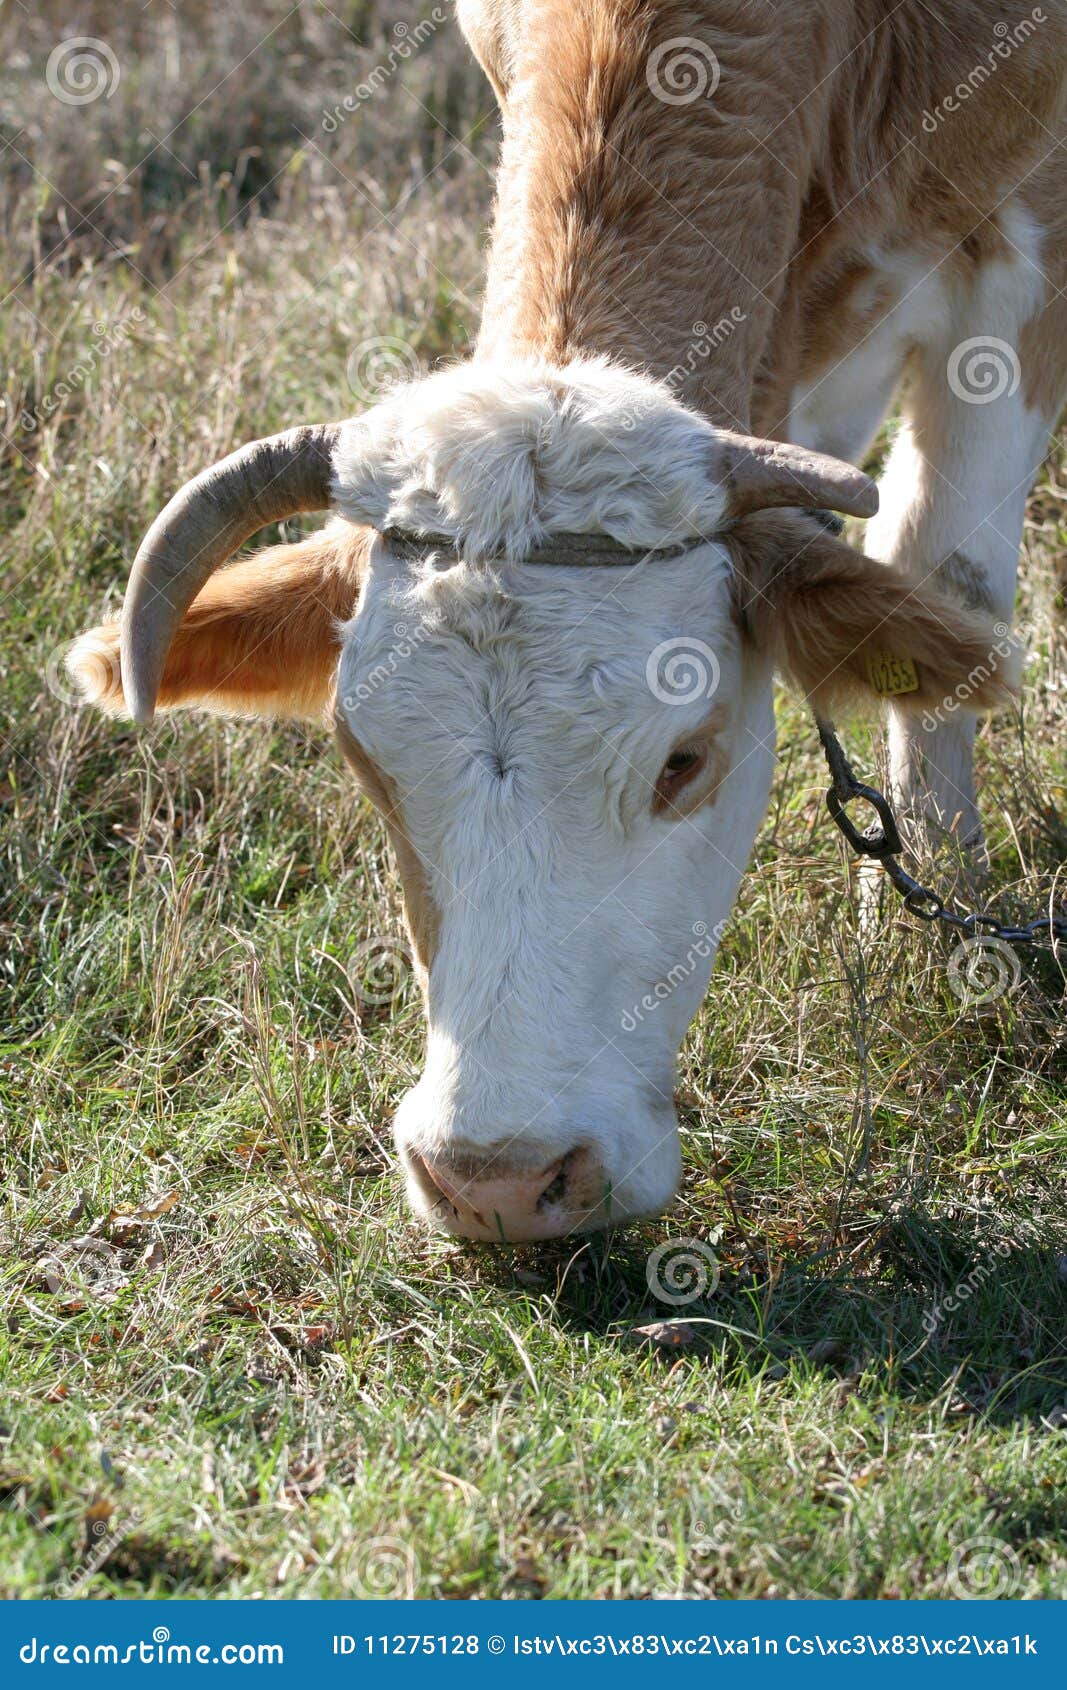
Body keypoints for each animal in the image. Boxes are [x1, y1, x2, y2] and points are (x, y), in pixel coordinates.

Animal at [69, 1, 1065, 1242]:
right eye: (364, 761)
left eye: (684, 761)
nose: (495, 1180)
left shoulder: (1020, 233)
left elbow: (945, 571)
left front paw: (936, 915)